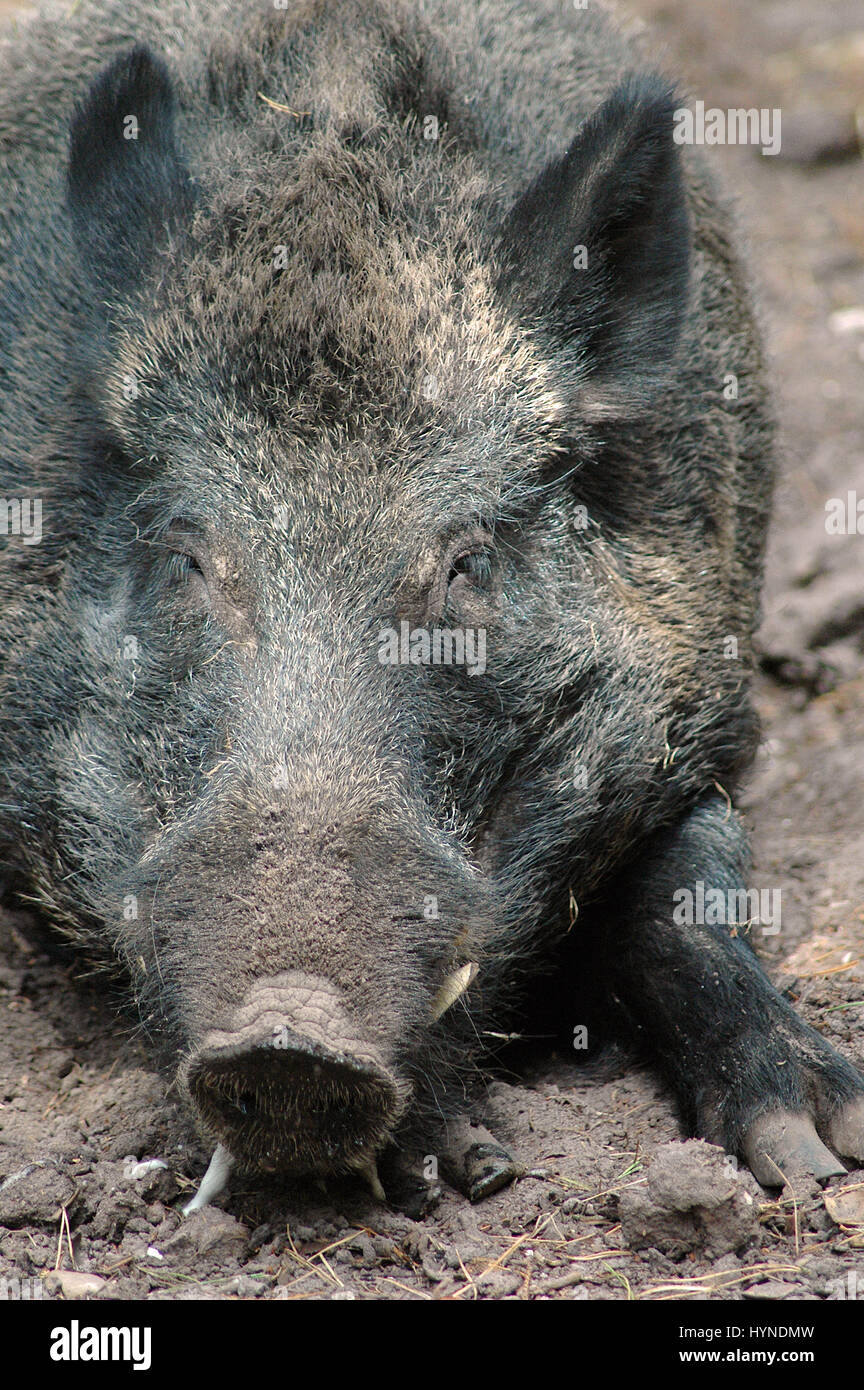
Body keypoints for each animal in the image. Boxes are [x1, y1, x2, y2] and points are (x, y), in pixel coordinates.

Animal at [0, 0, 862, 1207]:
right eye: (184, 555)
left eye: (468, 564)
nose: (289, 1033)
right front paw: (462, 1165)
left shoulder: (703, 704)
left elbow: (687, 897)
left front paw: (818, 1149)